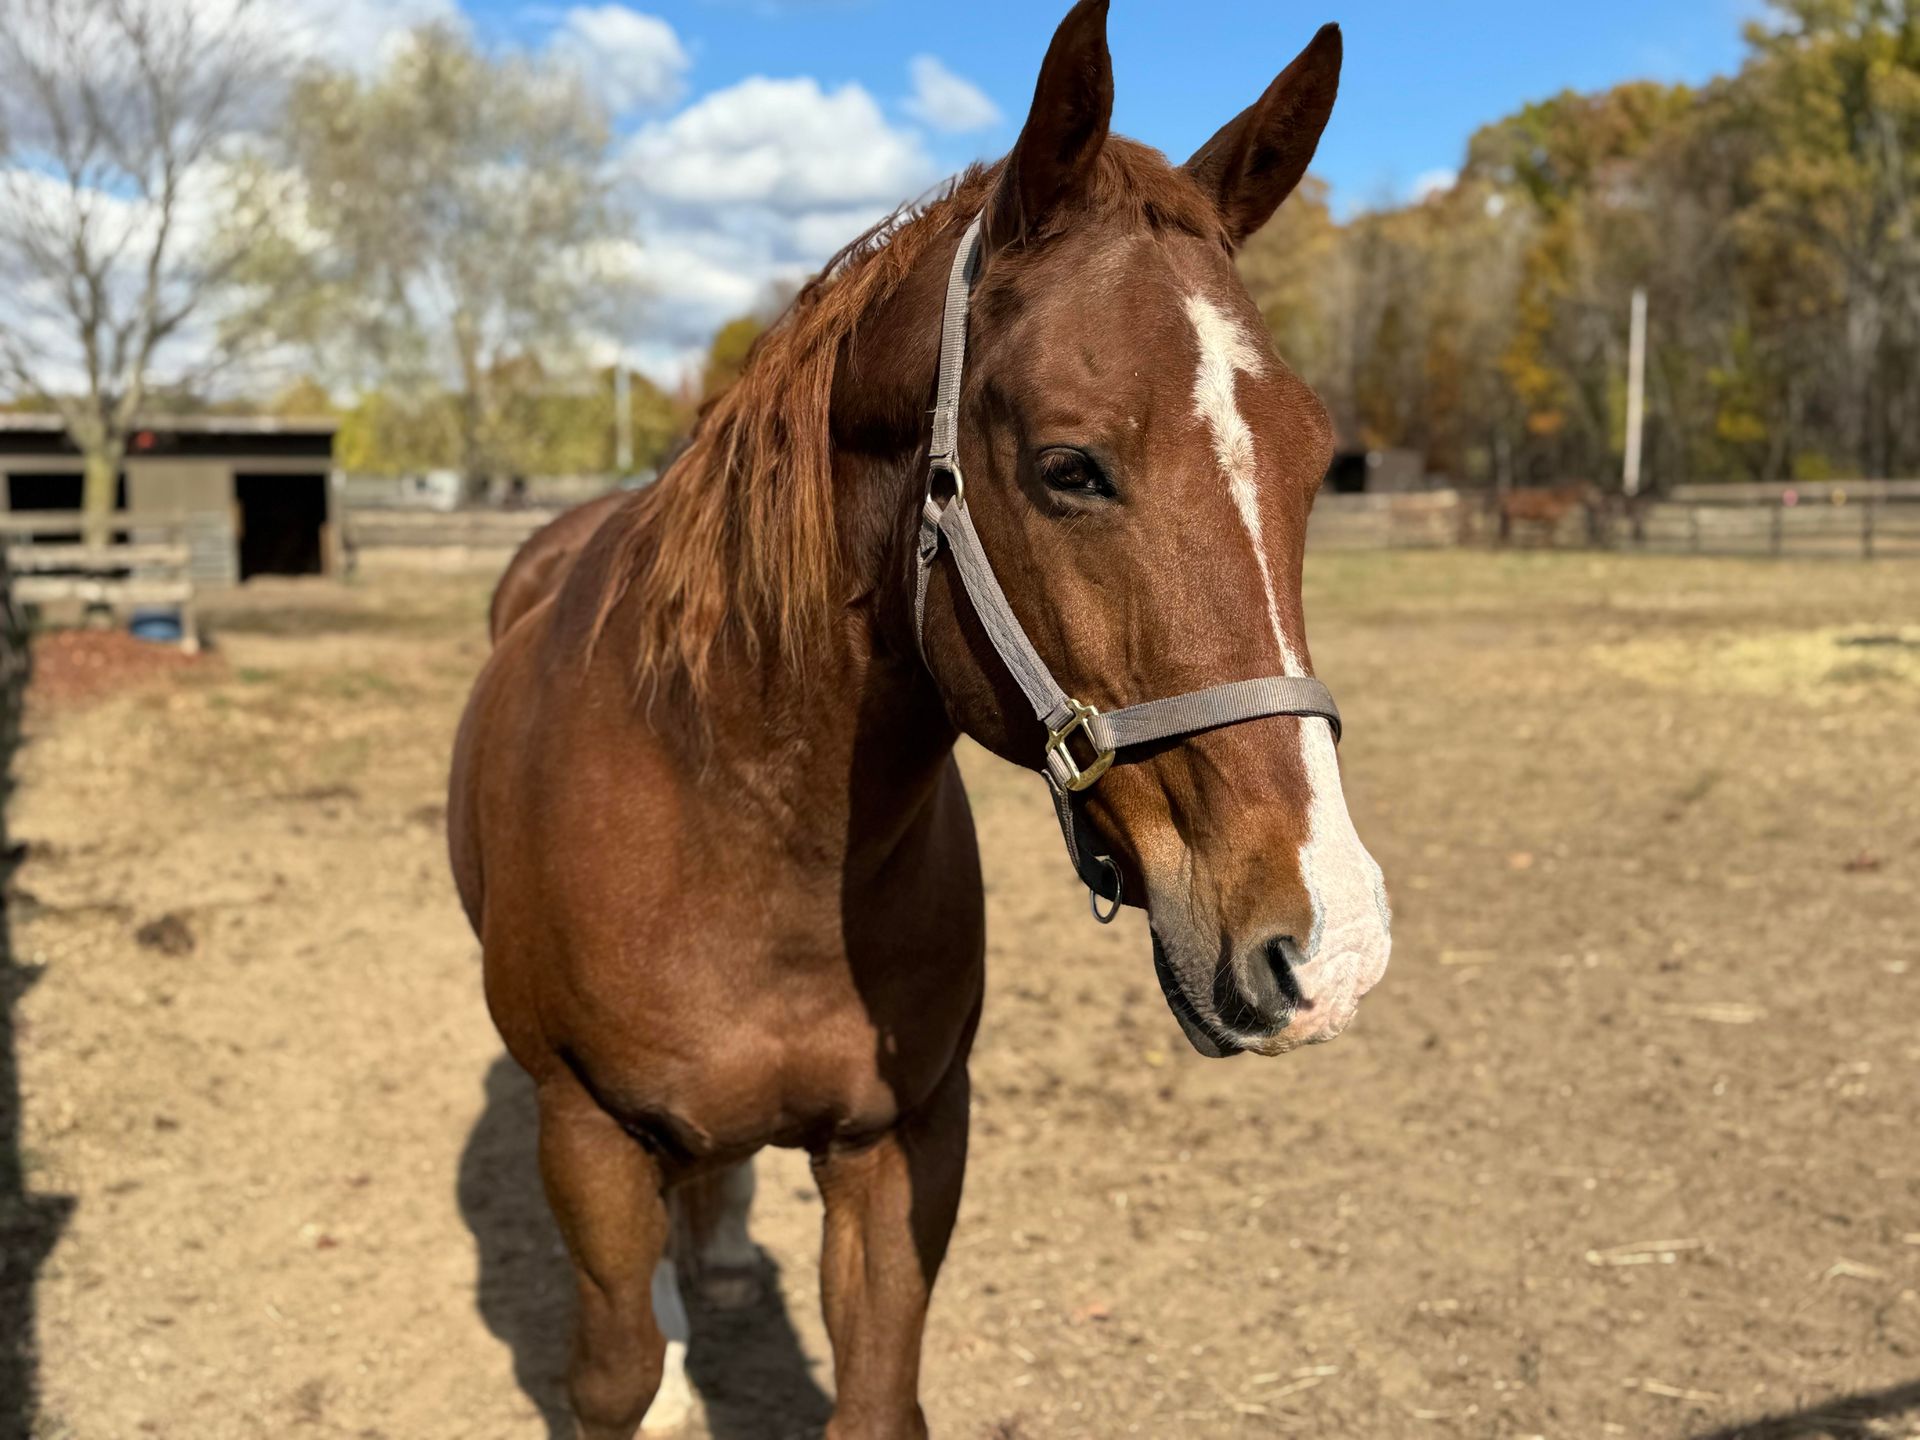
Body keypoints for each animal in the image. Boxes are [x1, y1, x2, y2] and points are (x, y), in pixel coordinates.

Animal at [447, 5, 1392, 1436]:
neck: (741, 826)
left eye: (1311, 460)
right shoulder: (586, 1131)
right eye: (1069, 466)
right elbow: (617, 1376)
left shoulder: (905, 1139)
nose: (1331, 943)